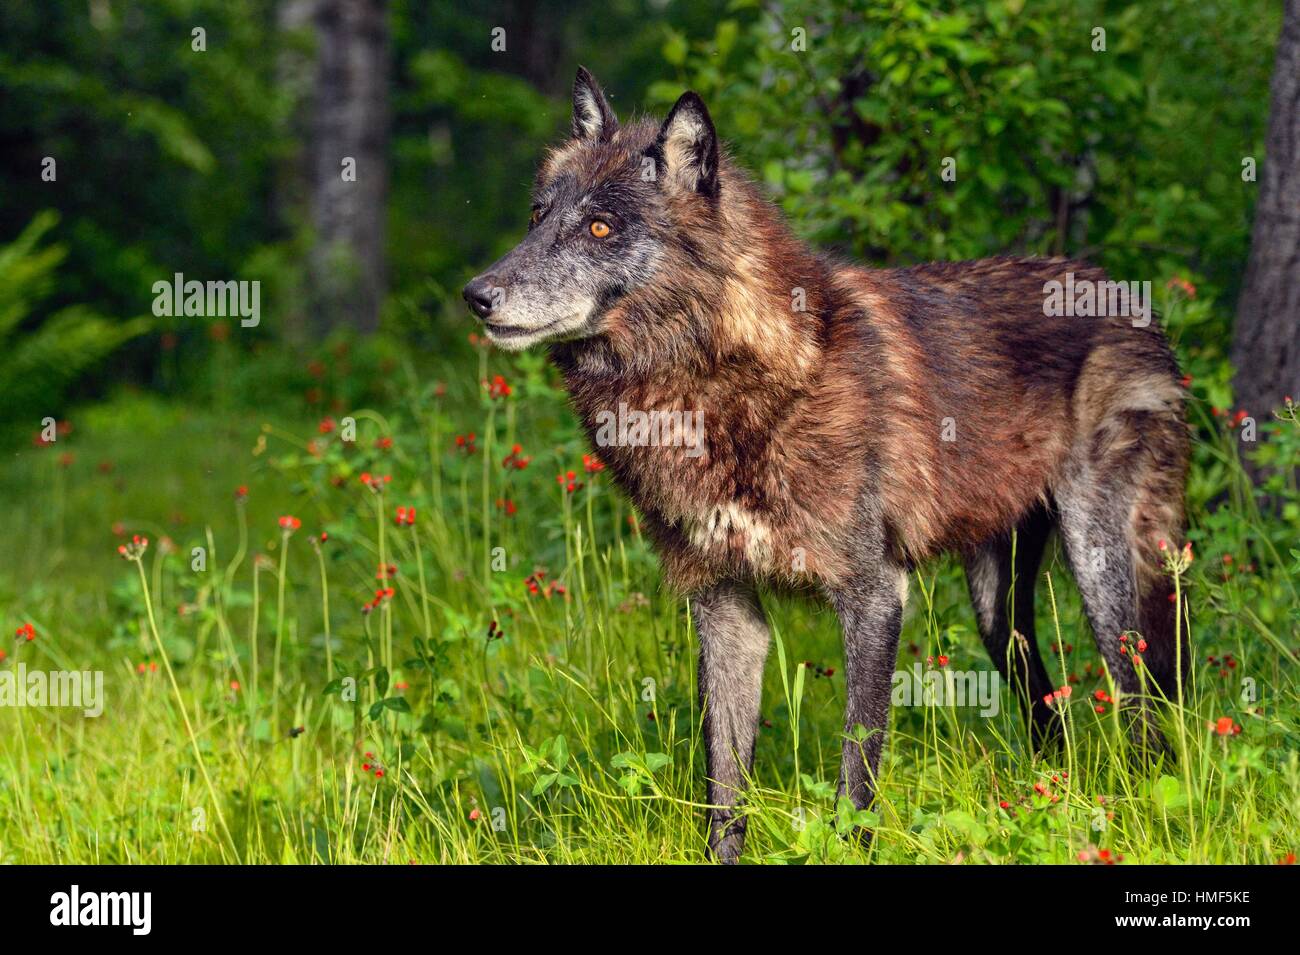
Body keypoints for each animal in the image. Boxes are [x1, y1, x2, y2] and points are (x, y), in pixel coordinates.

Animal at [463, 68, 1190, 863]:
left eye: (600, 227)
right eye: (537, 216)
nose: (478, 295)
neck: (719, 382)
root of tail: (1124, 294)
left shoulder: (875, 596)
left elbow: (856, 767)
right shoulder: (724, 607)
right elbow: (724, 784)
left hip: (1101, 565)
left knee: (1142, 701)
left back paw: (1146, 811)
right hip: (997, 608)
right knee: (1045, 706)